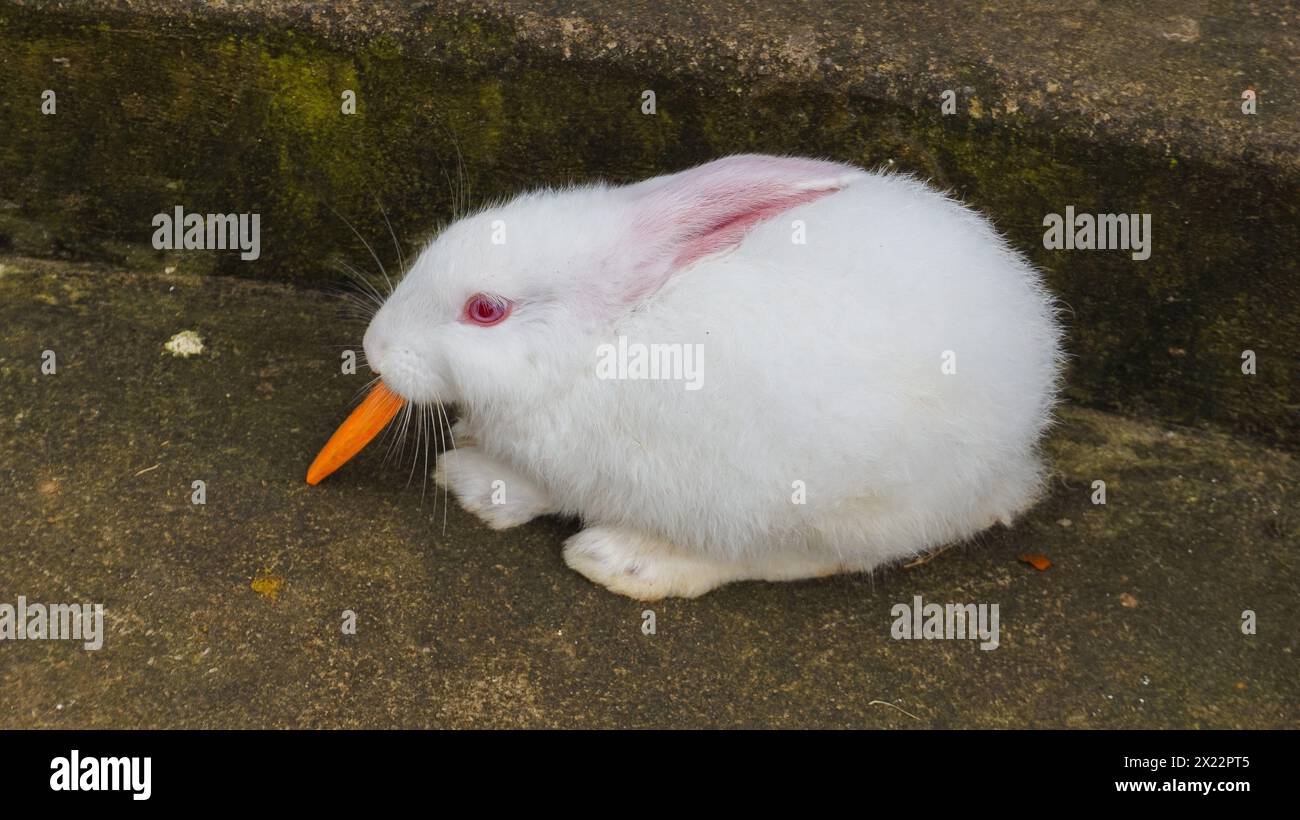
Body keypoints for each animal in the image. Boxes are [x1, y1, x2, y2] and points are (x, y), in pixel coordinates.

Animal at [362, 154, 1064, 600]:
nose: (374, 348)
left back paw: (621, 561)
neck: (598, 344)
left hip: (827, 502)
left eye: (486, 310)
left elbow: (550, 487)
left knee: (782, 559)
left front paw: (471, 482)